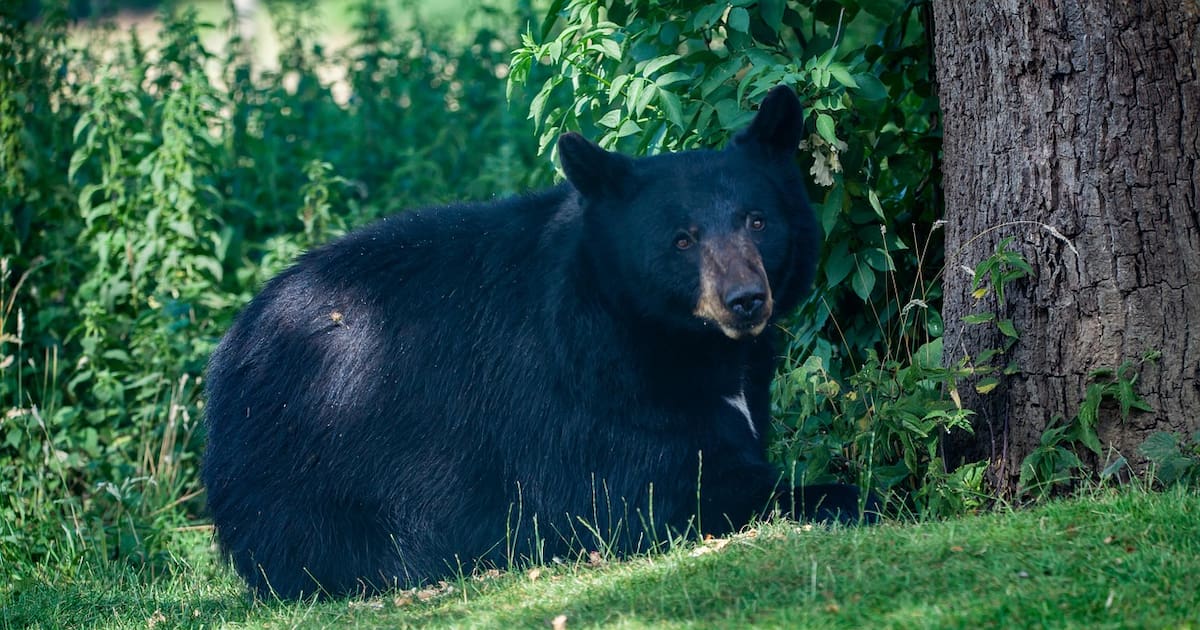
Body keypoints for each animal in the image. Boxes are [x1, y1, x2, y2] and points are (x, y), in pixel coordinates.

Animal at [201, 86, 872, 600]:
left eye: (757, 220)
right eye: (682, 239)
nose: (746, 300)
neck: (680, 341)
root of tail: (230, 349)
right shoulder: (586, 386)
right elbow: (658, 489)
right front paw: (850, 495)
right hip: (313, 456)